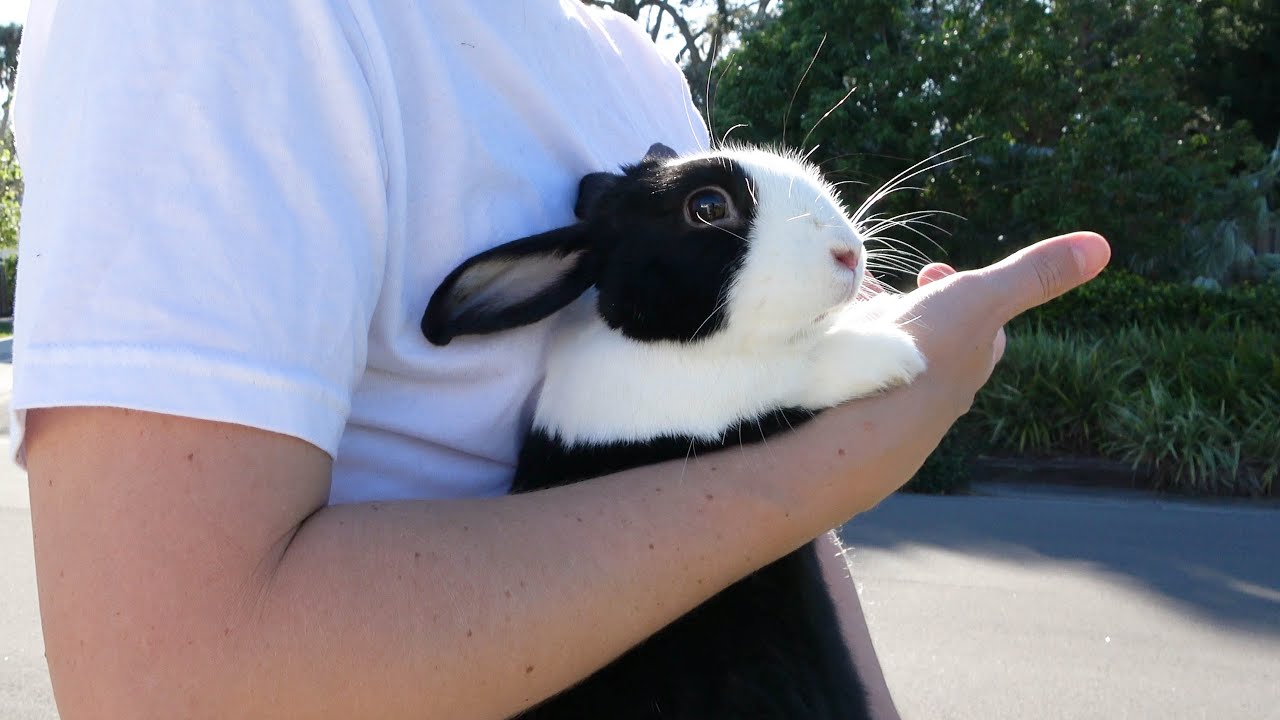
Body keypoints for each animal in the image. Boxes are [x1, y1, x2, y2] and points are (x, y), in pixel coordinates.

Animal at [422, 142, 927, 719]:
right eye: (707, 207)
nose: (847, 254)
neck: (664, 345)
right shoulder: (730, 401)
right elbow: (795, 372)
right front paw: (893, 352)